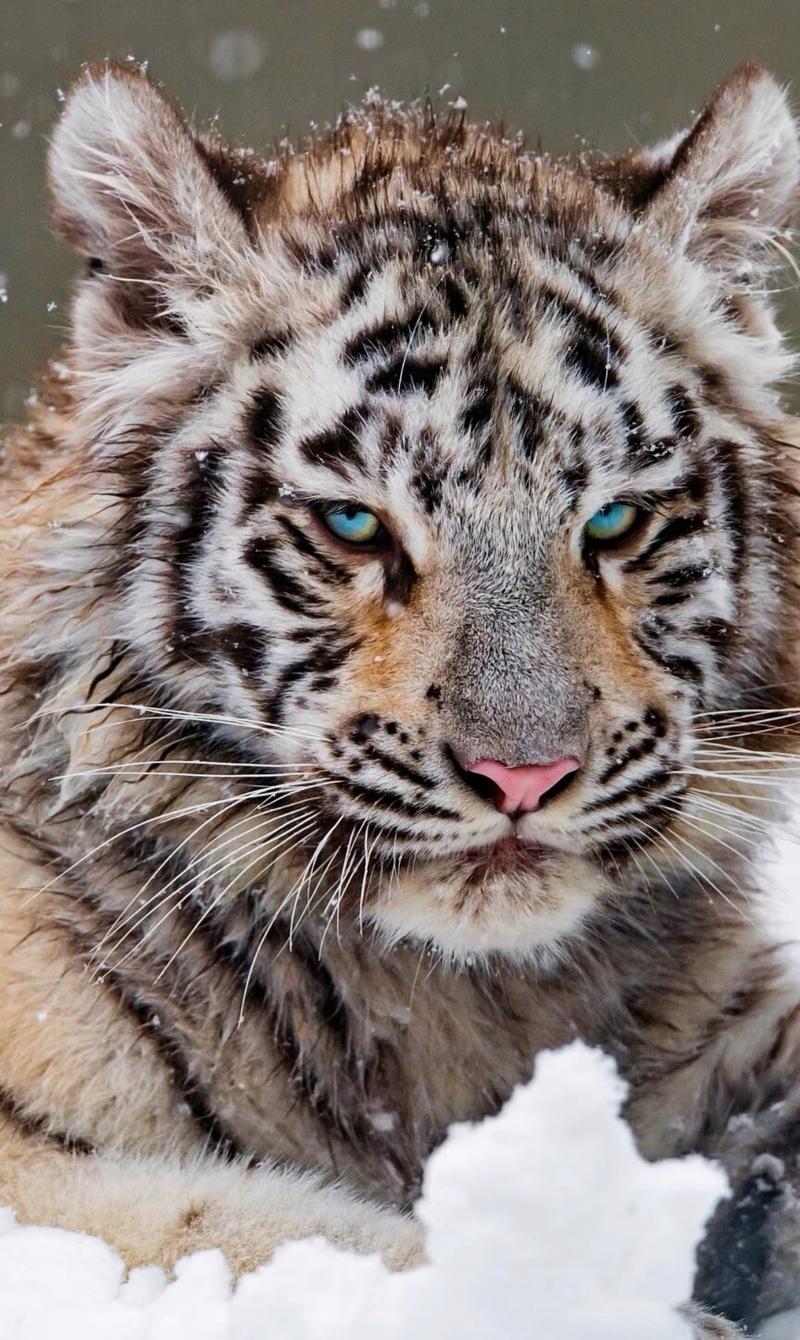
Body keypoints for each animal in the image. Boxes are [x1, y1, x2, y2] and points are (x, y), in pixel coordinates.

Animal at [1, 56, 800, 1337]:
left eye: (614, 521)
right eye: (353, 522)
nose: (523, 774)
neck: (448, 1001)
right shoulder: (49, 1177)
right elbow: (293, 1229)